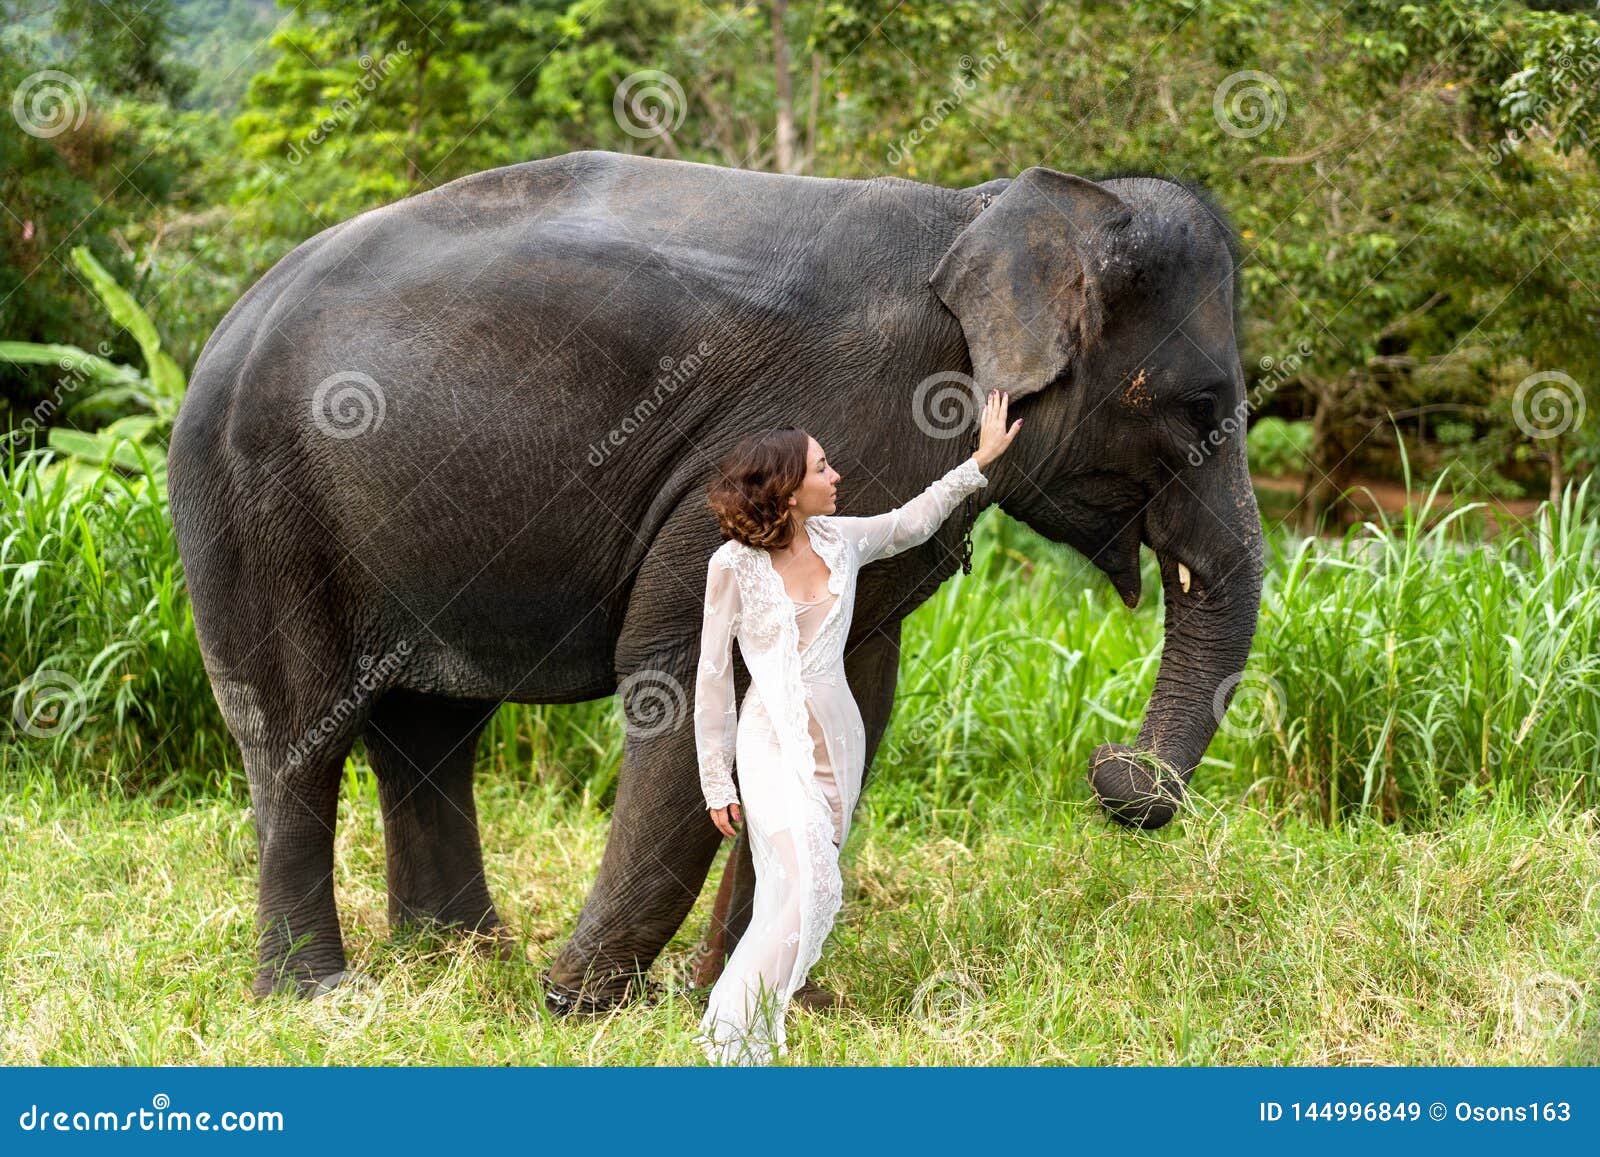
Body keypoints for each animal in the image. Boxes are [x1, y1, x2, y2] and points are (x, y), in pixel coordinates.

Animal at [167, 148, 1263, 1009]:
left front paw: (768, 996)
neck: (980, 210)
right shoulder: (792, 444)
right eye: (1200, 407)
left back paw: (461, 959)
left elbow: (851, 693)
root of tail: (229, 322)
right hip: (257, 509)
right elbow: (686, 673)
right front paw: (582, 1002)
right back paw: (318, 993)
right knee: (297, 737)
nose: (1113, 772)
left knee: (431, 734)